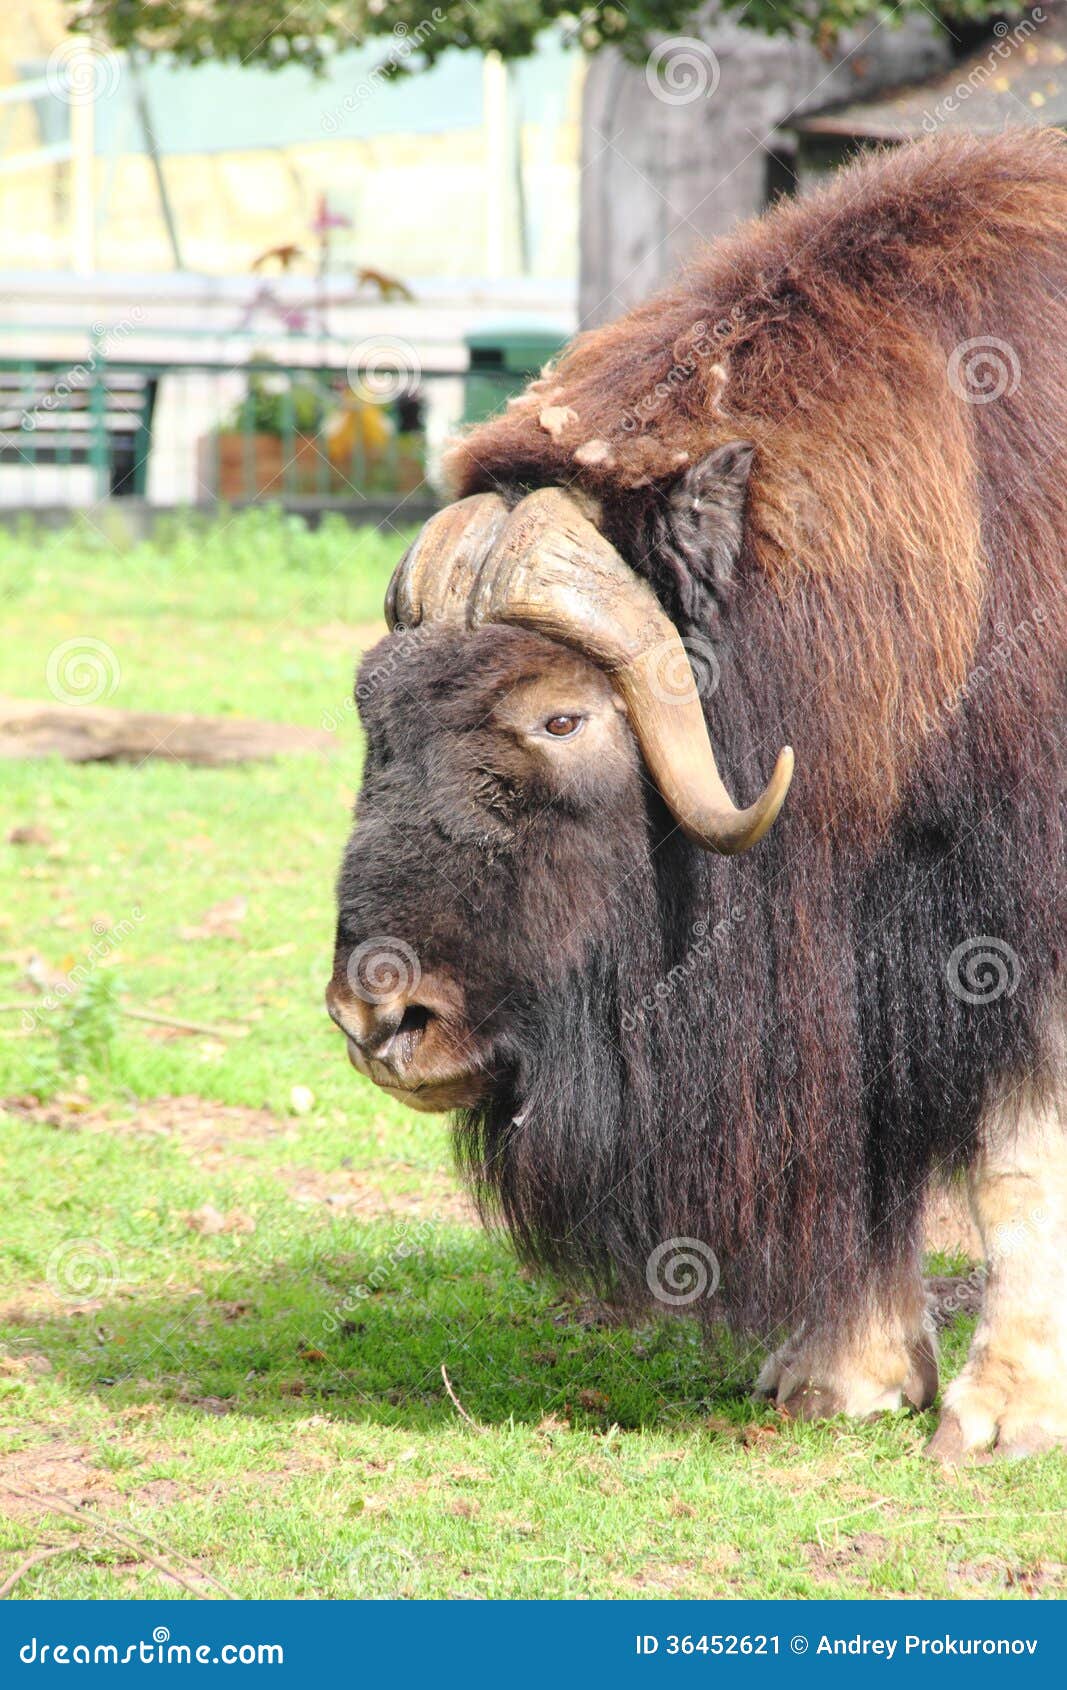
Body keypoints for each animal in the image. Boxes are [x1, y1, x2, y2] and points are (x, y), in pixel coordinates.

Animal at [327, 131, 1066, 1460]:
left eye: (561, 716)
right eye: (376, 706)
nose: (377, 1016)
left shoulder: (1015, 921)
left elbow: (1018, 1153)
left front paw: (996, 1417)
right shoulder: (844, 946)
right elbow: (864, 1139)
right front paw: (838, 1376)